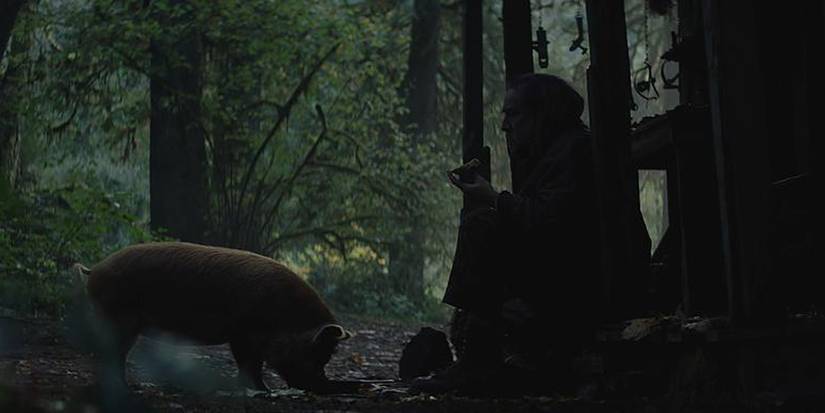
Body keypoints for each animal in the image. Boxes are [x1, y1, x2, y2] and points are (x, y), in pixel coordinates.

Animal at [74, 241, 352, 392]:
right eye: (316, 354)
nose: (324, 386)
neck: (285, 315)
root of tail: (95, 269)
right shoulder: (244, 333)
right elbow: (250, 362)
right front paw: (264, 391)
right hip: (118, 317)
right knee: (112, 352)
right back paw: (124, 387)